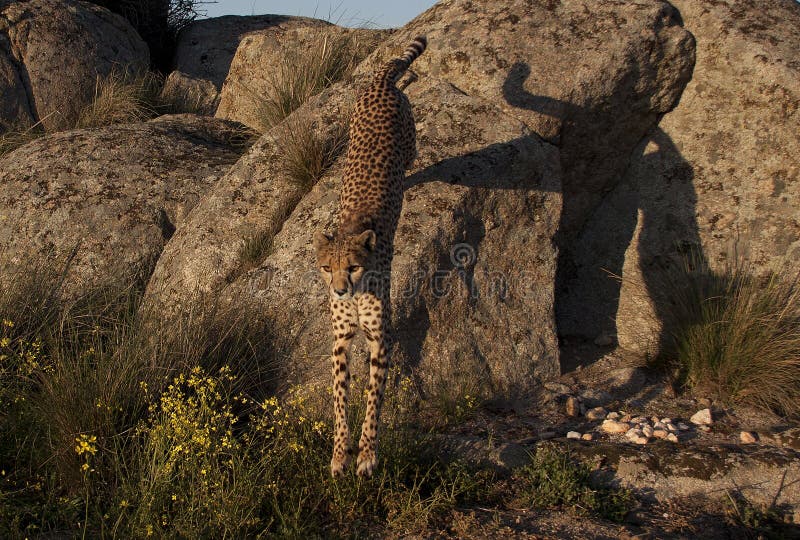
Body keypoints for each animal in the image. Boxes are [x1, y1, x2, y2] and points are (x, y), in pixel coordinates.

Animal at [312, 36, 427, 478]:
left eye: (354, 267)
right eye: (326, 268)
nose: (340, 291)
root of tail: (378, 83)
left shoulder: (382, 338)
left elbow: (374, 397)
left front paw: (366, 454)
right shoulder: (341, 341)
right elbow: (340, 401)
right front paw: (338, 453)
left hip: (410, 143)